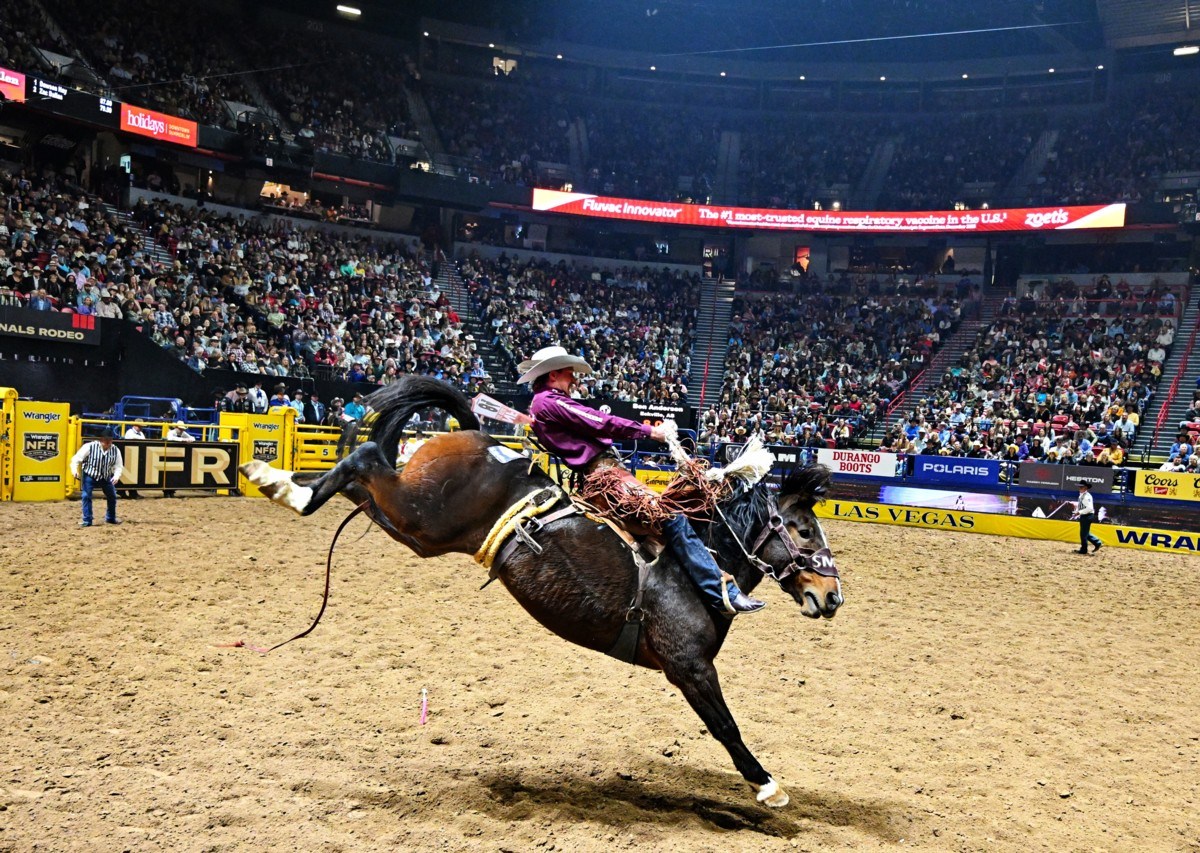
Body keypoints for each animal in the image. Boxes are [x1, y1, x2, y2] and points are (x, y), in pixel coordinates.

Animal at [241, 376, 843, 808]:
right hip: (423, 514)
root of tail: (479, 436)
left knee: (362, 480)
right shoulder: (689, 666)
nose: (832, 597)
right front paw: (768, 787)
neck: (697, 566)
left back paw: (282, 483)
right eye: (804, 531)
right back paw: (276, 481)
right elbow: (725, 725)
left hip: (418, 530)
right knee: (364, 458)